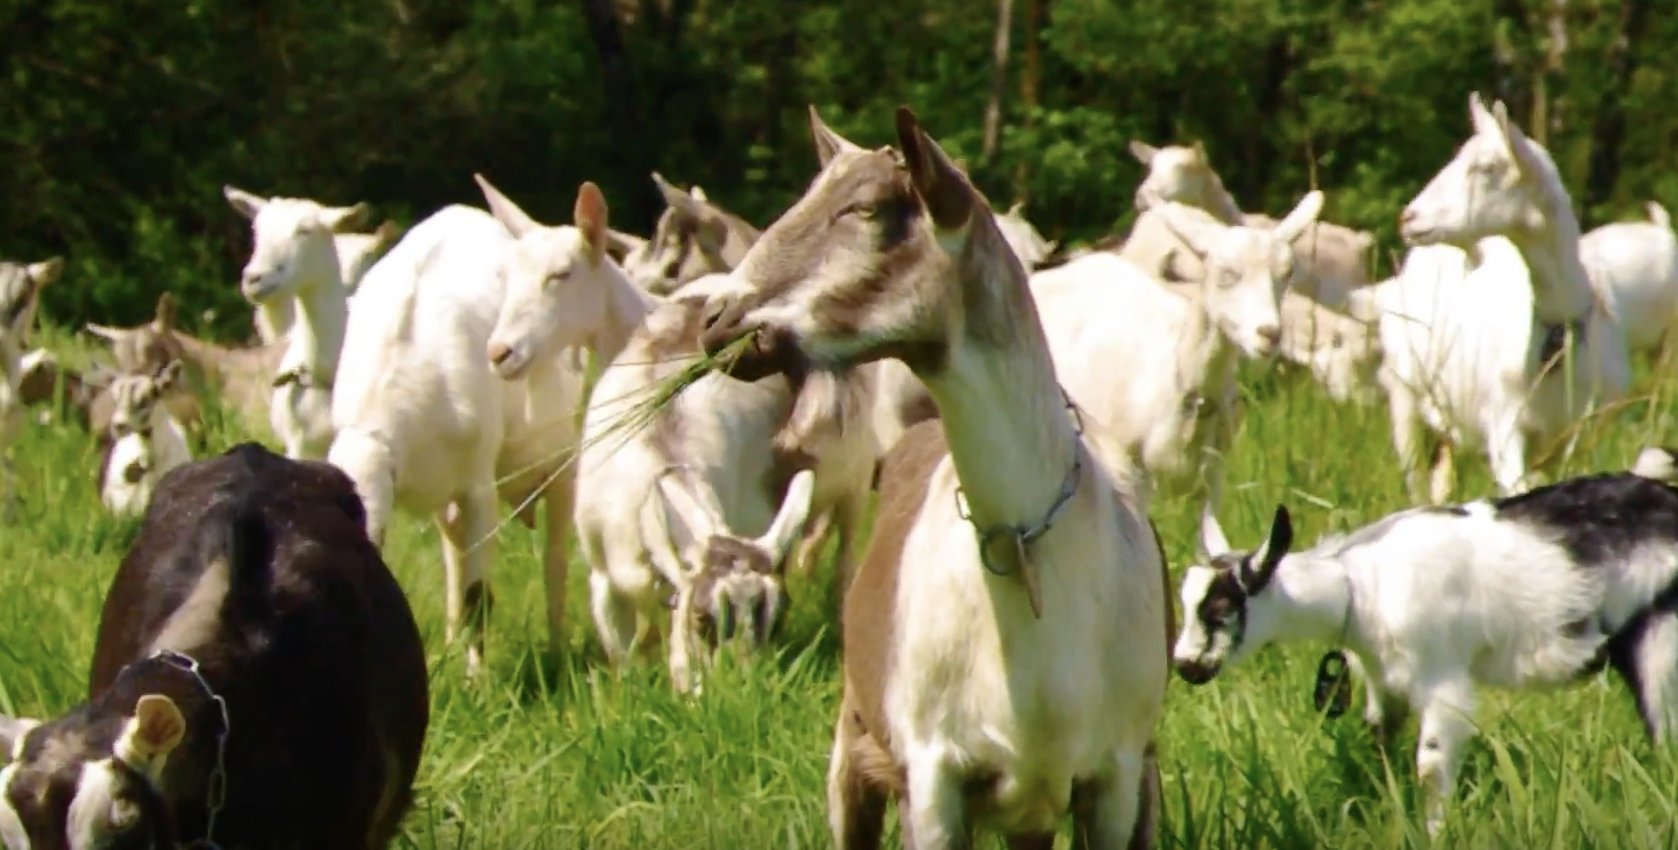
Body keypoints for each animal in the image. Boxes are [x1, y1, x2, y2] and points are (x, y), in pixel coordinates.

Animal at [1175, 457, 1678, 835]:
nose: (1185, 665)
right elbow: (1380, 741)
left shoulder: (1443, 680)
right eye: (1184, 601)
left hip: (1662, 643)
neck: (1360, 585)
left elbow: (1431, 765)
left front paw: (1433, 833)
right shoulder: (1385, 683)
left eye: (1220, 610)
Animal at [1356, 93, 1630, 501]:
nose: (1408, 218)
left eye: (1486, 167)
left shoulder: (1585, 435)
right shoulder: (1505, 427)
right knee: (1416, 475)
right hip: (1404, 393)